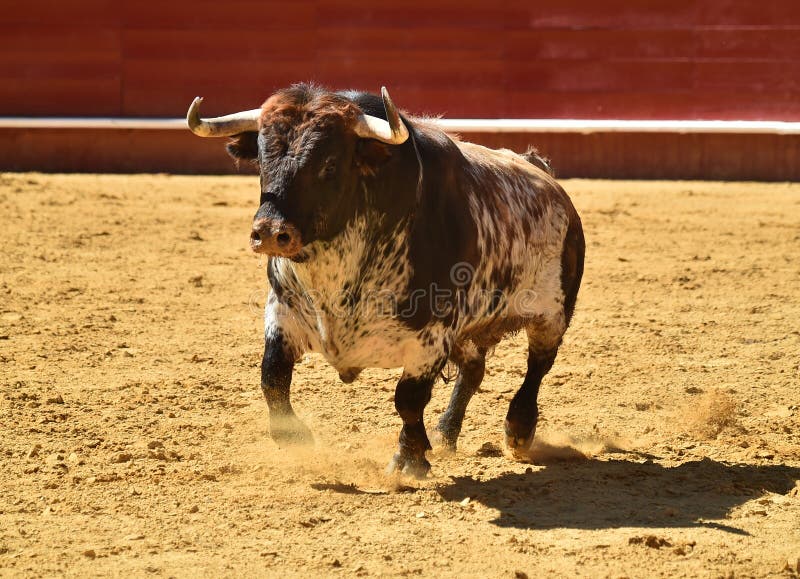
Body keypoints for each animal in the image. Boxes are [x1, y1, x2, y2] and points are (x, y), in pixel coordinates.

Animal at [186, 84, 585, 477]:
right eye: (261, 159)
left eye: (330, 164)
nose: (269, 232)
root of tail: (545, 177)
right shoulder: (283, 313)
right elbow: (272, 377)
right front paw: (294, 438)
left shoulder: (431, 334)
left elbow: (408, 399)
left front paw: (409, 460)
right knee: (473, 370)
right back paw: (444, 434)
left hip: (552, 316)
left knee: (538, 366)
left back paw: (518, 430)